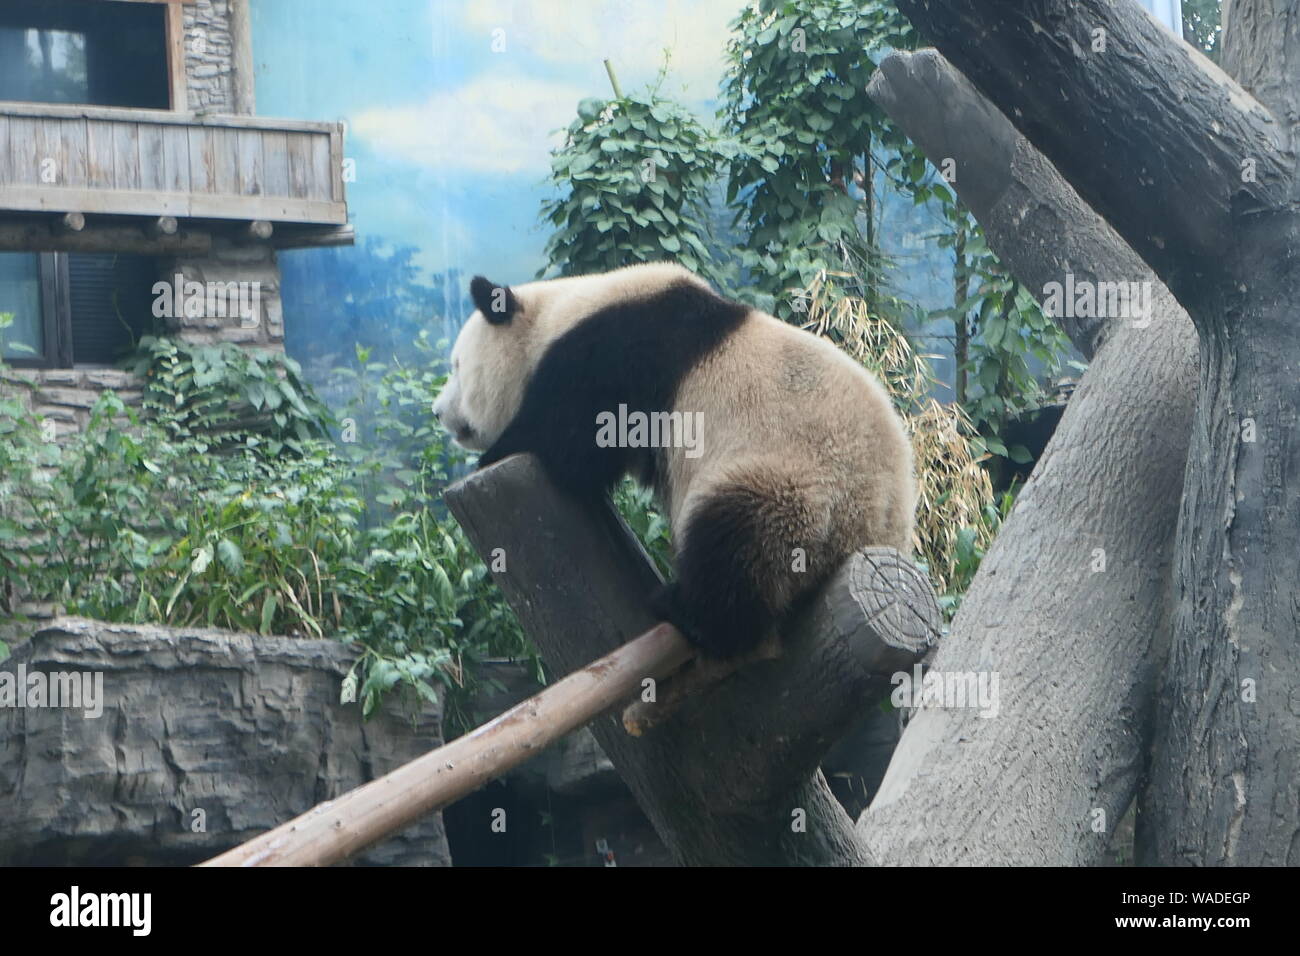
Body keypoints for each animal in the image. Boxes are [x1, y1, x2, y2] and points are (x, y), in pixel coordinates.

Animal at [433, 262, 915, 663]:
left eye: (456, 367)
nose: (439, 411)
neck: (558, 314)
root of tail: (871, 534)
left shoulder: (614, 357)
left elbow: (571, 445)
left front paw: (493, 454)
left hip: (791, 485)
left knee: (733, 540)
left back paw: (686, 611)